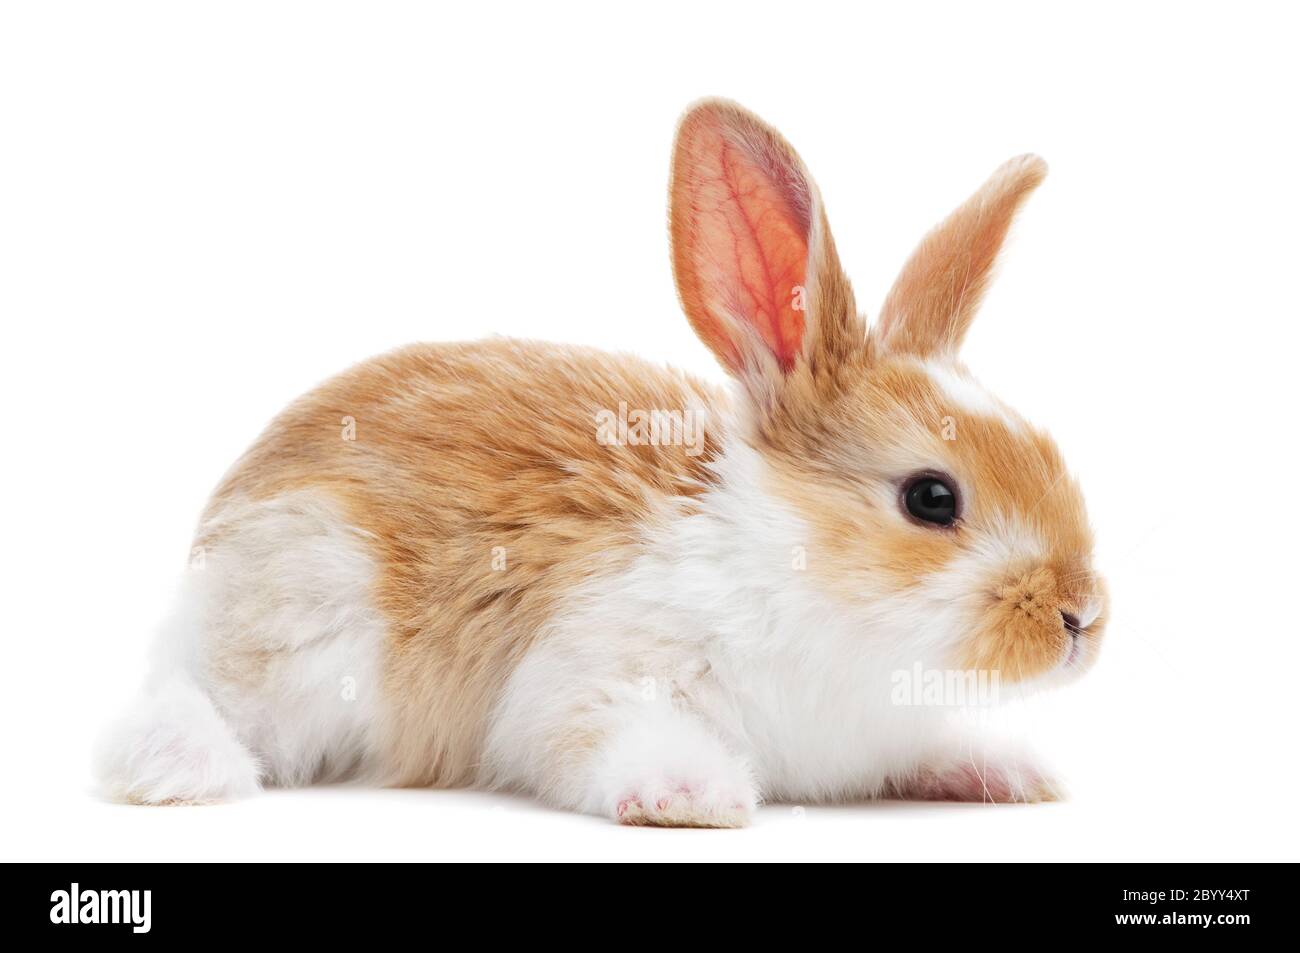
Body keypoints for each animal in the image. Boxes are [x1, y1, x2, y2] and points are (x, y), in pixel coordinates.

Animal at [95, 99, 1106, 826]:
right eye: (931, 497)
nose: (1083, 616)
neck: (788, 565)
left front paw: (1012, 772)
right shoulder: (589, 679)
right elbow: (593, 736)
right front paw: (694, 796)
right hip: (303, 621)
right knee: (182, 703)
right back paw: (186, 771)